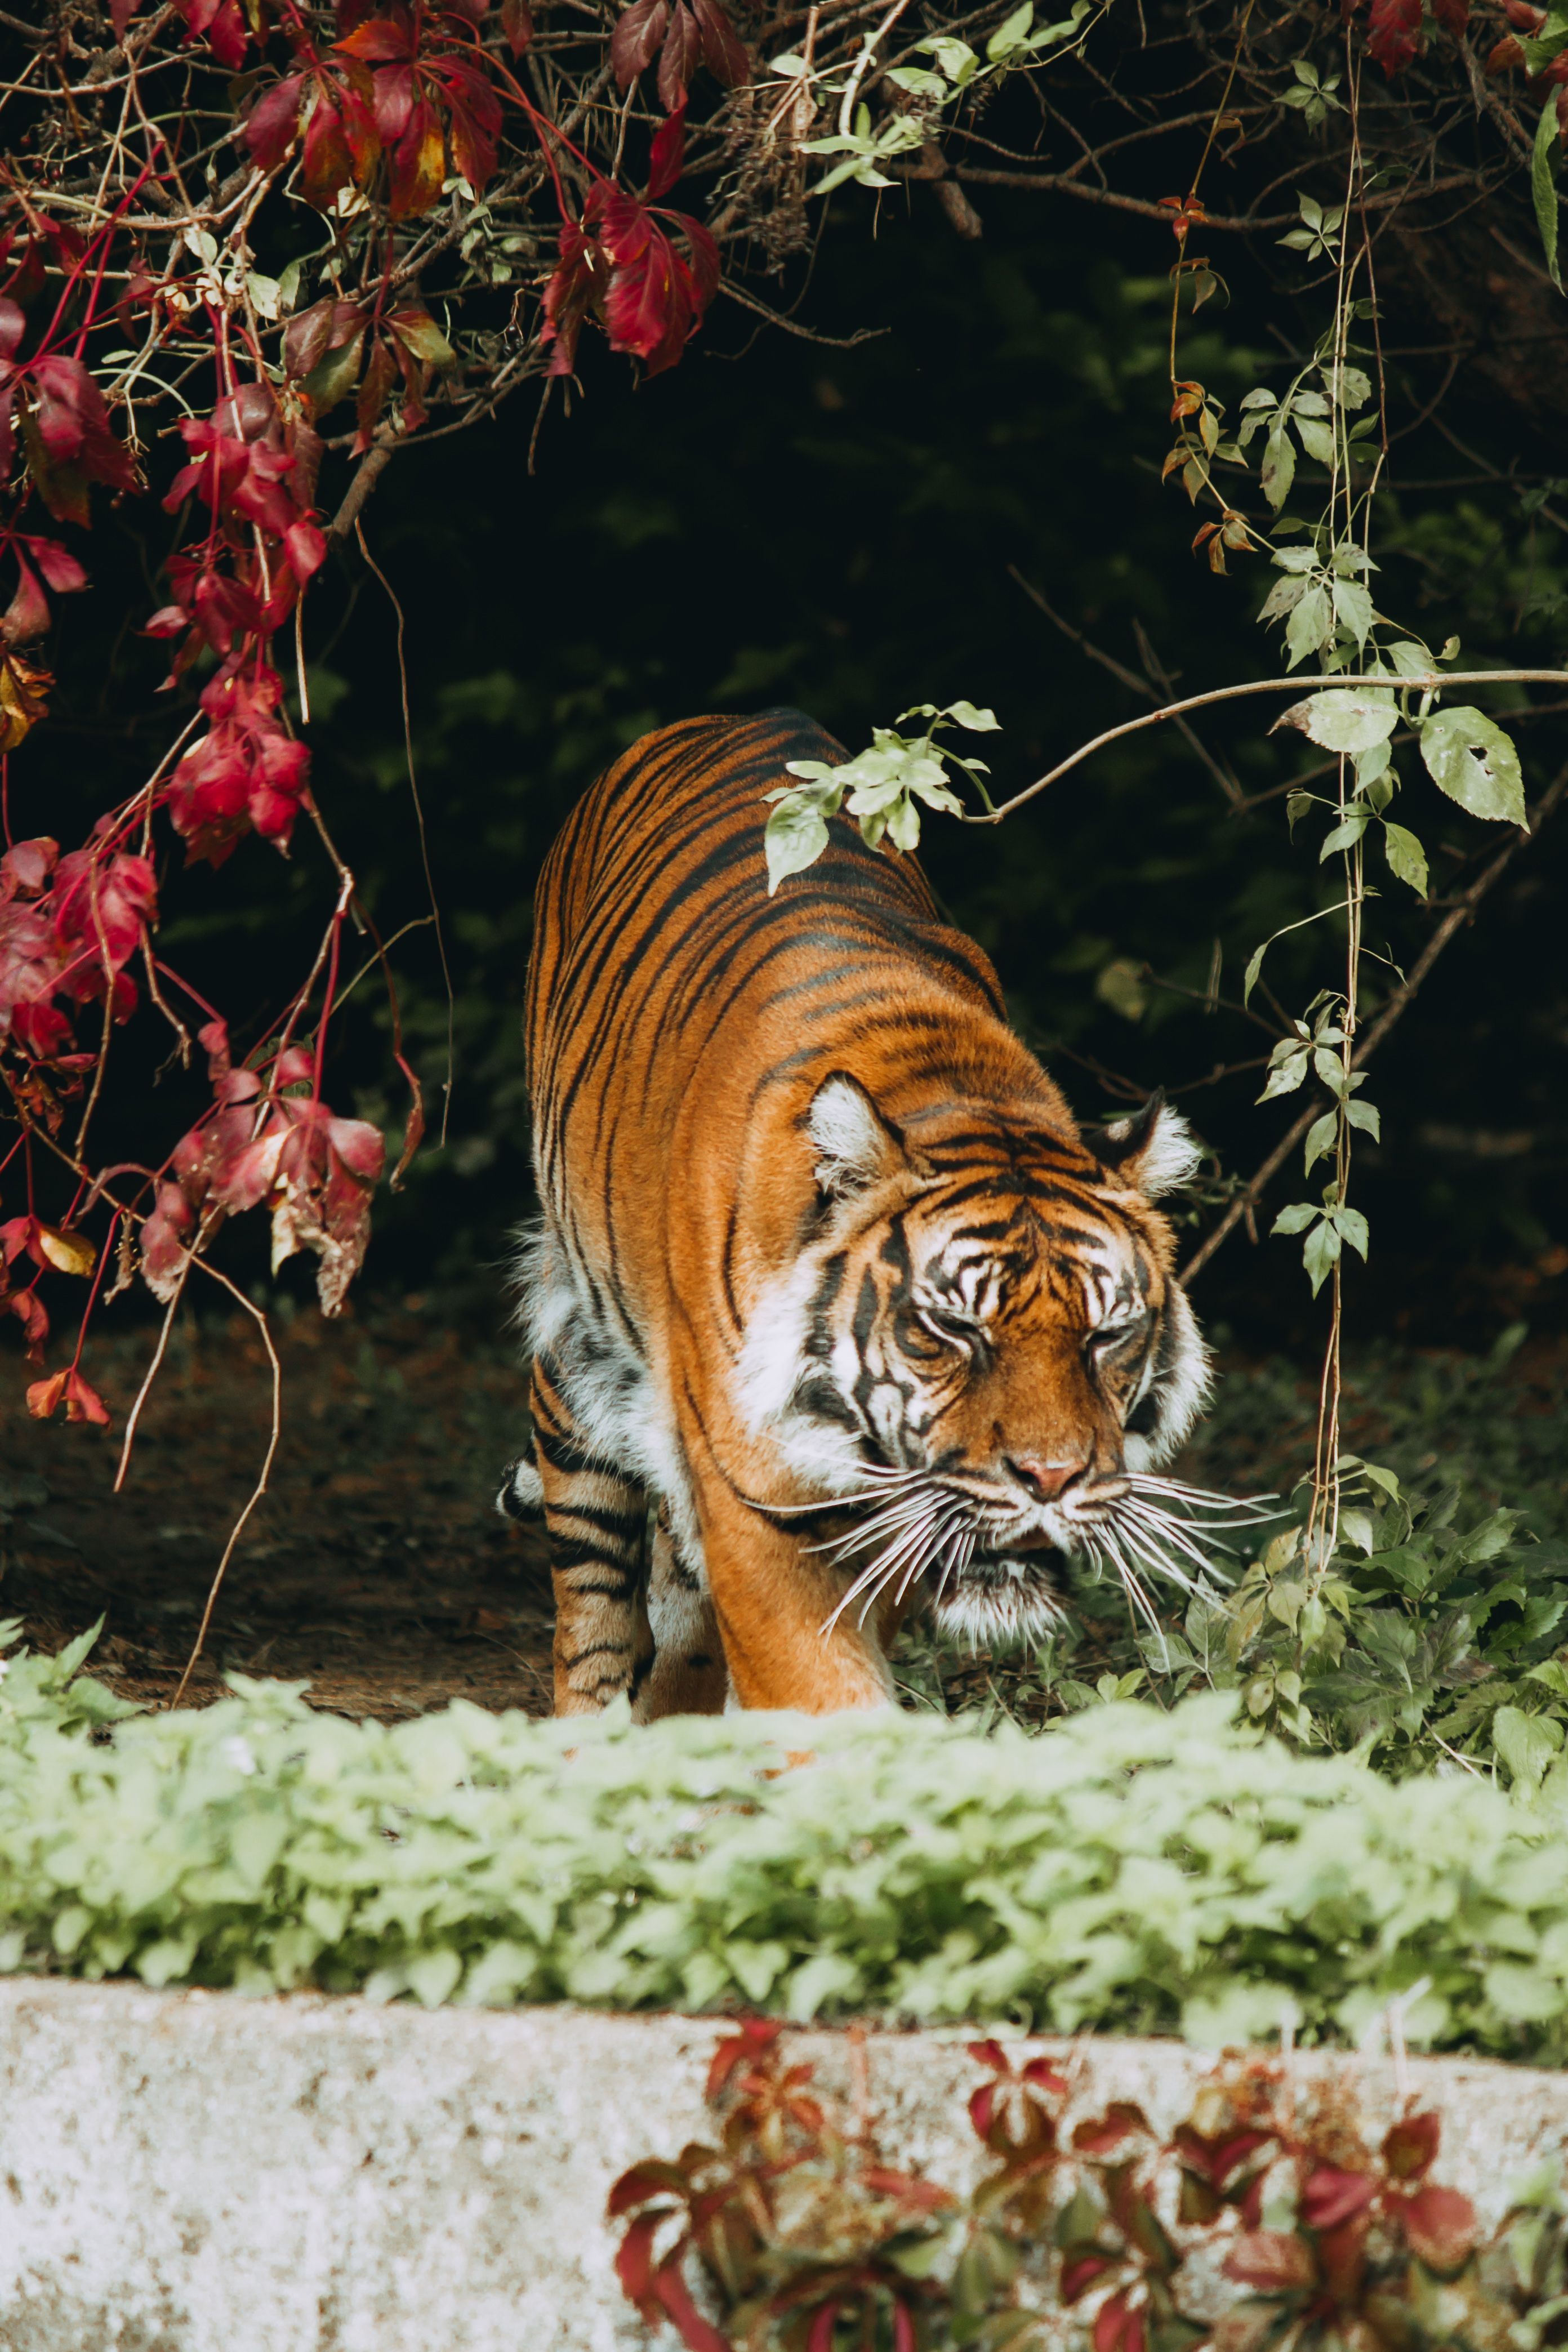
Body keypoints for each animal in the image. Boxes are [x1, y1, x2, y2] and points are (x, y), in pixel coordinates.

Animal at [498, 708, 1212, 1718]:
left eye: (1105, 1336)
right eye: (949, 1330)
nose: (1050, 1480)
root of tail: (733, 715)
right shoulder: (756, 1501)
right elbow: (822, 1698)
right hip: (581, 1365)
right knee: (592, 1613)